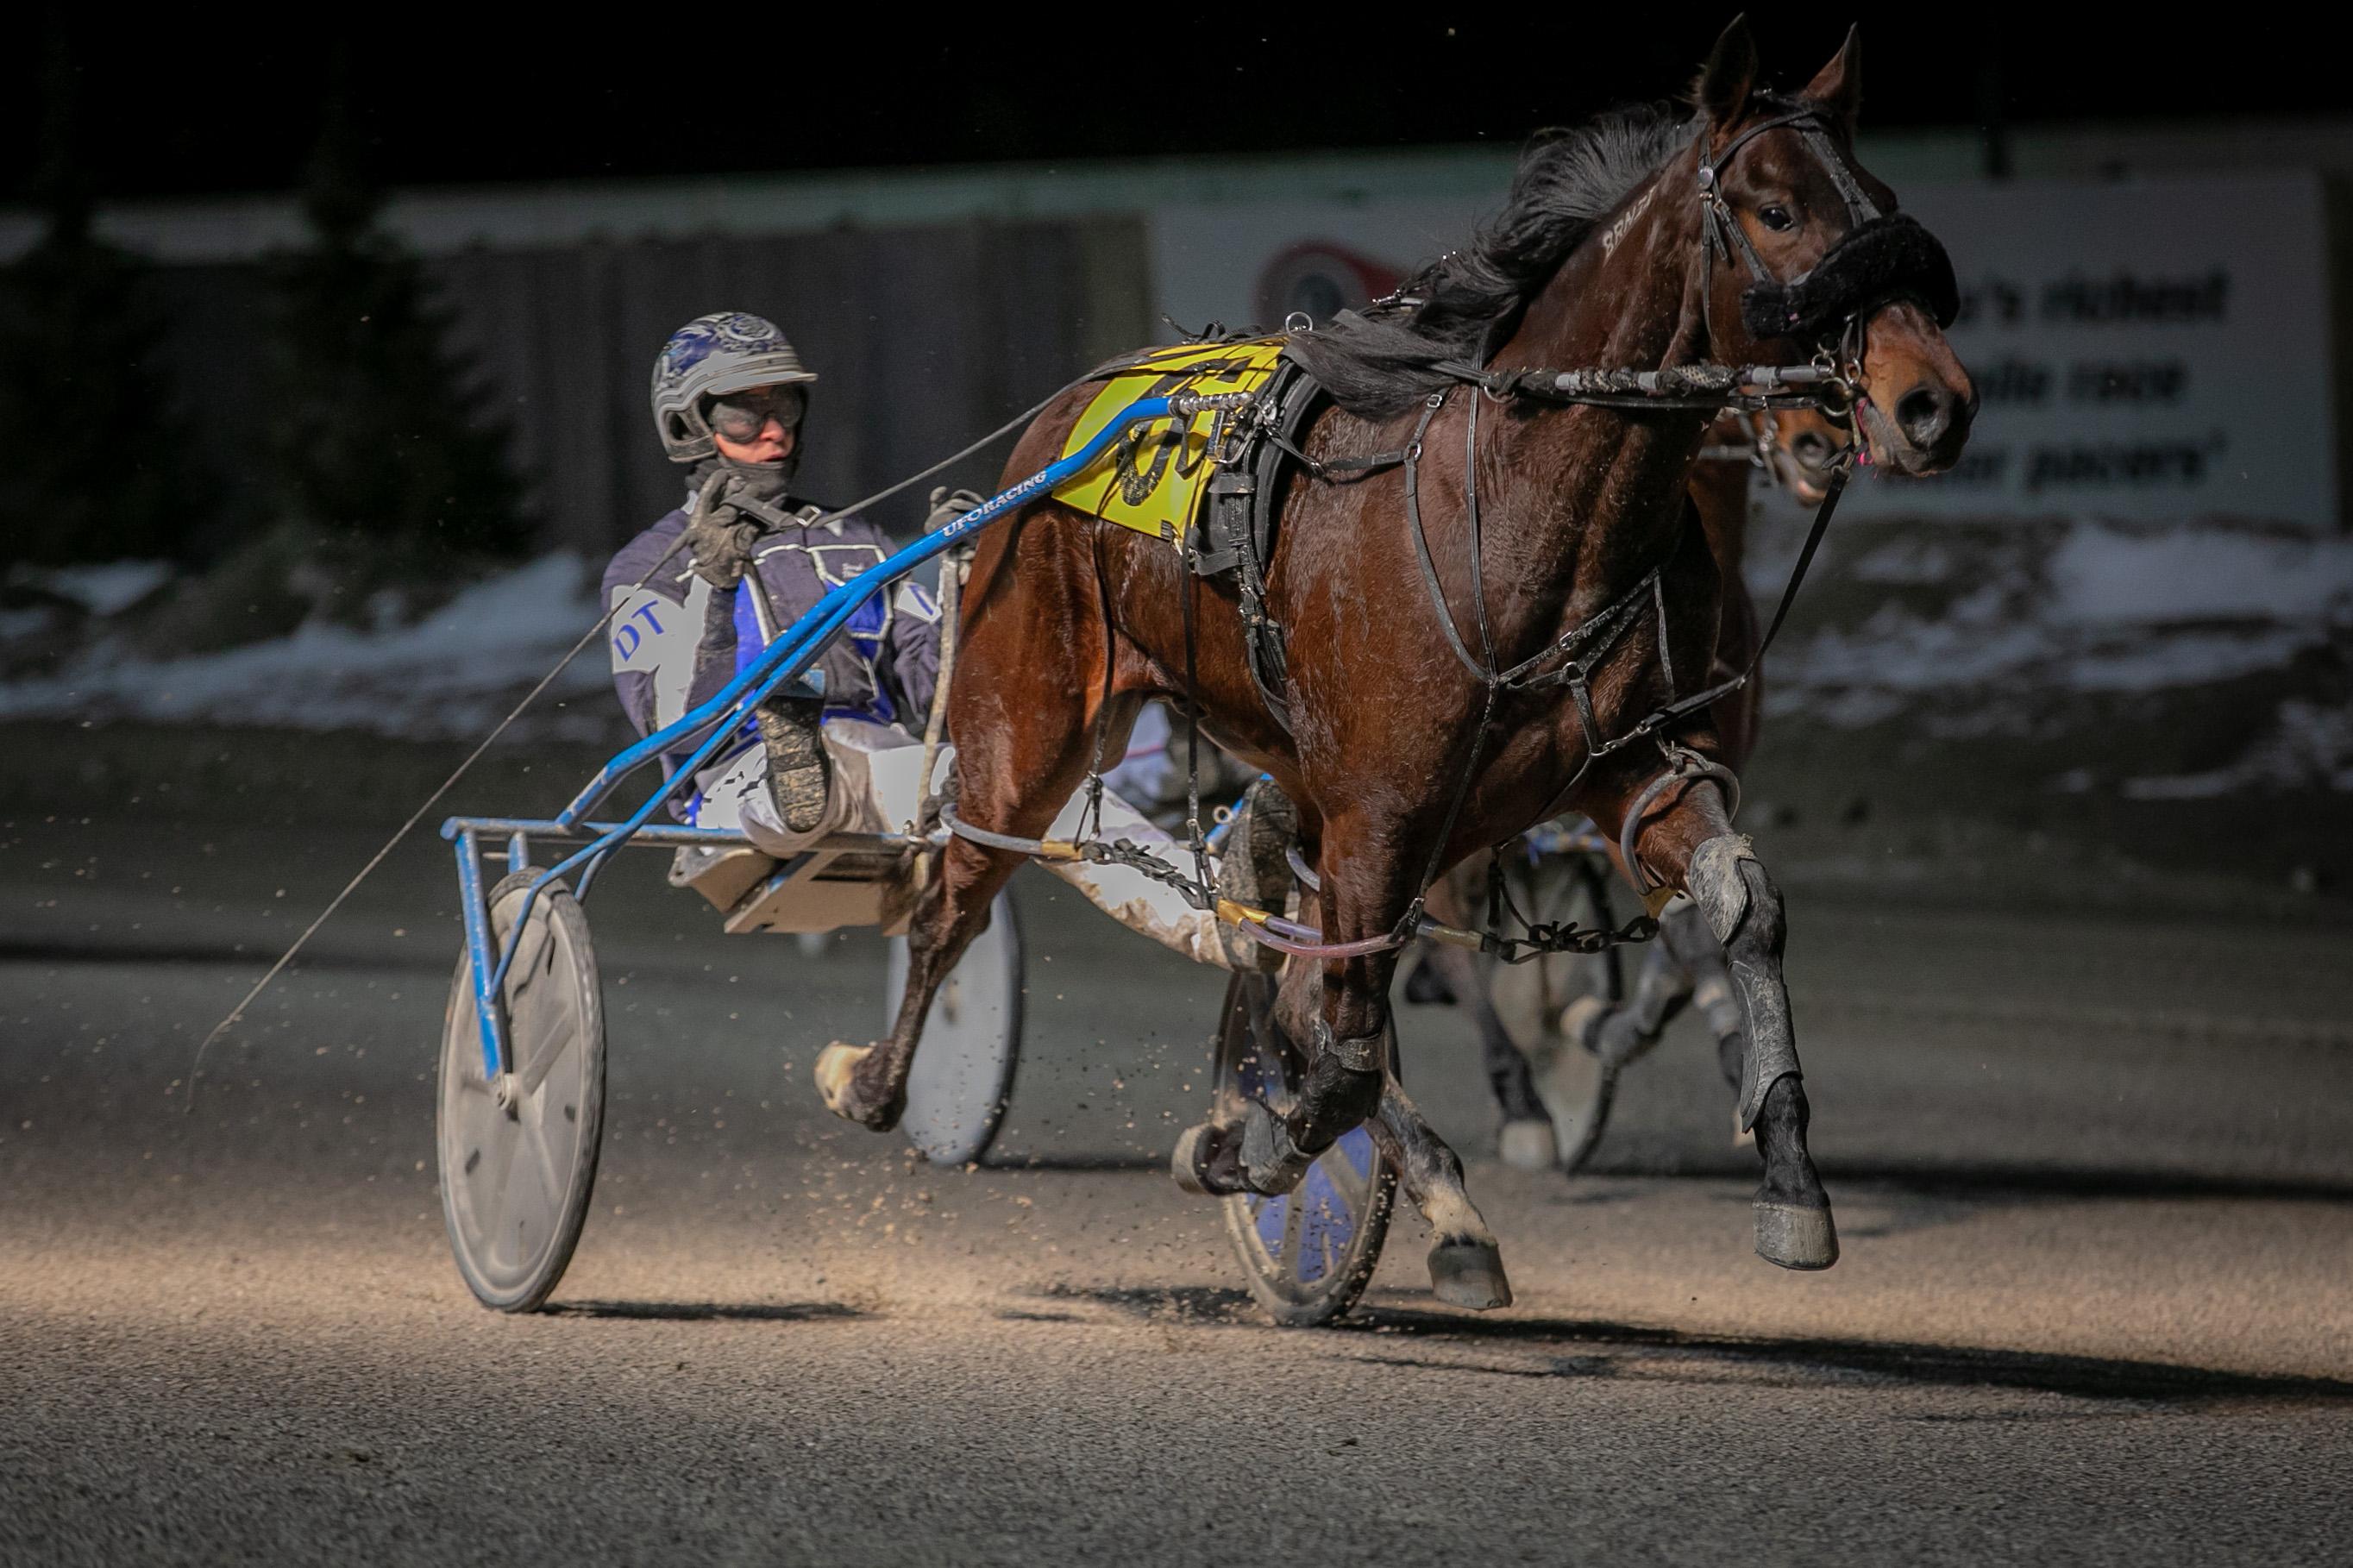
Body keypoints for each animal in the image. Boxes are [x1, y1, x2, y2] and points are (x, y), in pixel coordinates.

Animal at [820, 18, 1974, 1309]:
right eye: (1776, 211)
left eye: (1882, 201)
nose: (1933, 402)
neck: (1517, 507)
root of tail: (1068, 414)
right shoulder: (1383, 808)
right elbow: (1346, 1048)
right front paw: (1254, 1143)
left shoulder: (1627, 769)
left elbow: (1738, 908)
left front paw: (1786, 1174)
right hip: (1027, 726)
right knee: (956, 897)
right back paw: (880, 1078)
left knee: (1265, 909)